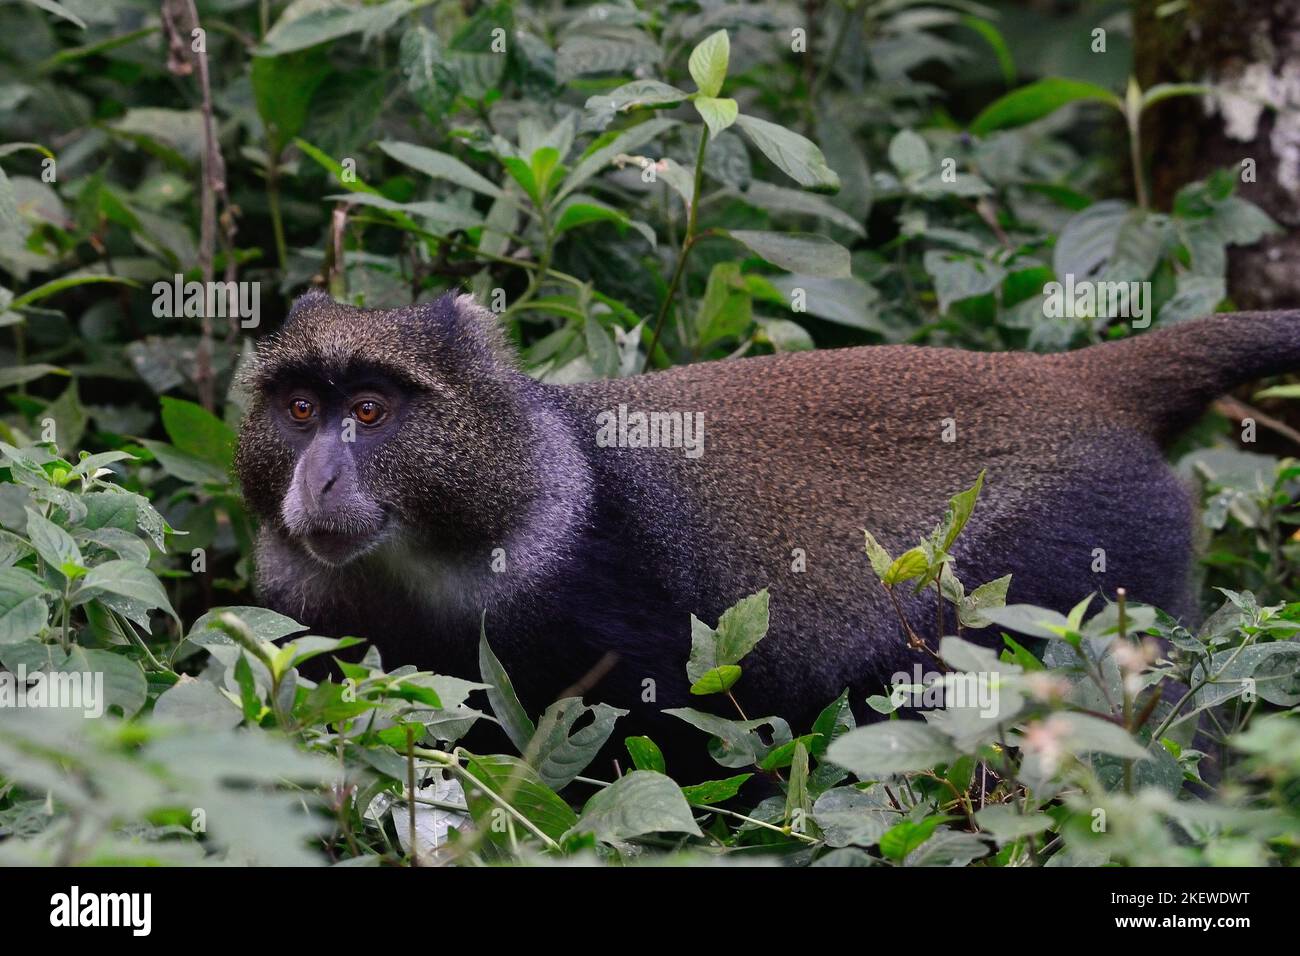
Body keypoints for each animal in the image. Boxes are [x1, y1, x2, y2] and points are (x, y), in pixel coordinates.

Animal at [235, 291, 1299, 779]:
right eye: (300, 408)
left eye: (370, 412)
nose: (318, 478)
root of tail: (1080, 384)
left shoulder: (600, 607)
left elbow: (684, 743)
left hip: (1083, 556)